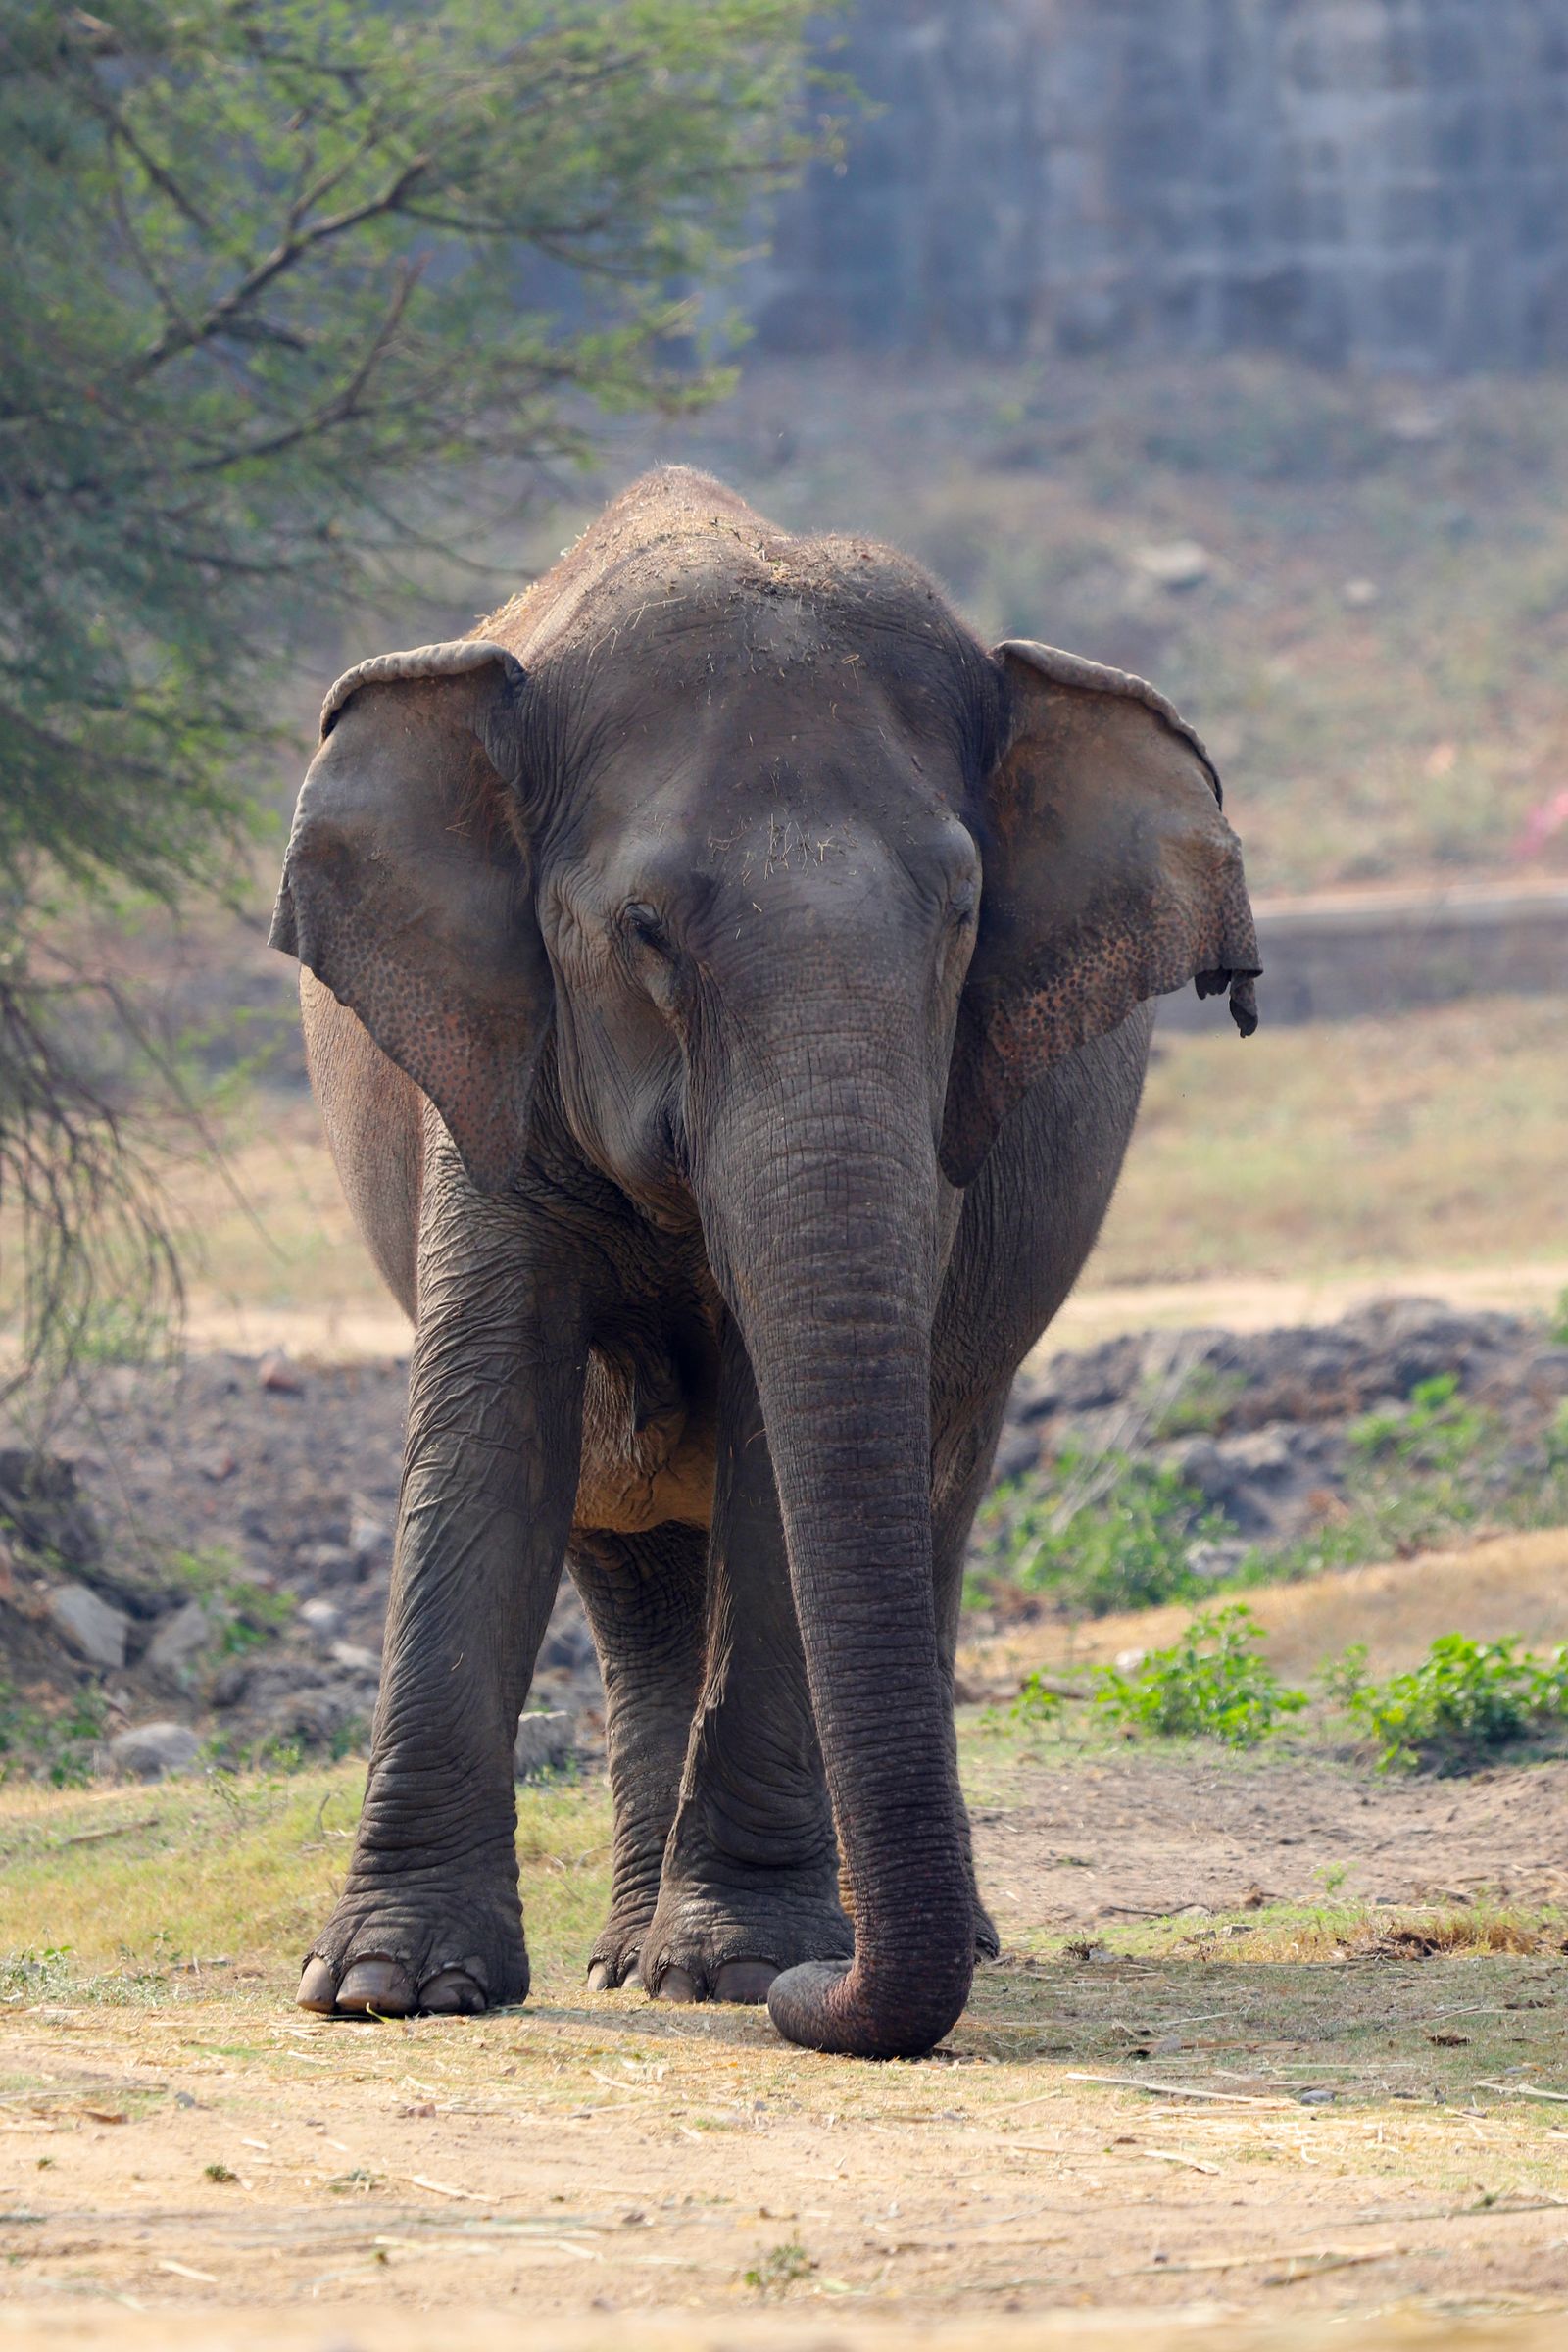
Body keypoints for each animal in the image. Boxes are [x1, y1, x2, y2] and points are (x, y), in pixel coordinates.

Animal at [270, 465, 1259, 2060]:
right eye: (644, 929)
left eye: (964, 918)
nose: (812, 1998)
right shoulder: (486, 1062)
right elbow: (495, 1422)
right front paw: (385, 1990)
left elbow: (772, 1462)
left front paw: (742, 1970)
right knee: (627, 1559)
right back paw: (630, 1950)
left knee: (930, 1502)